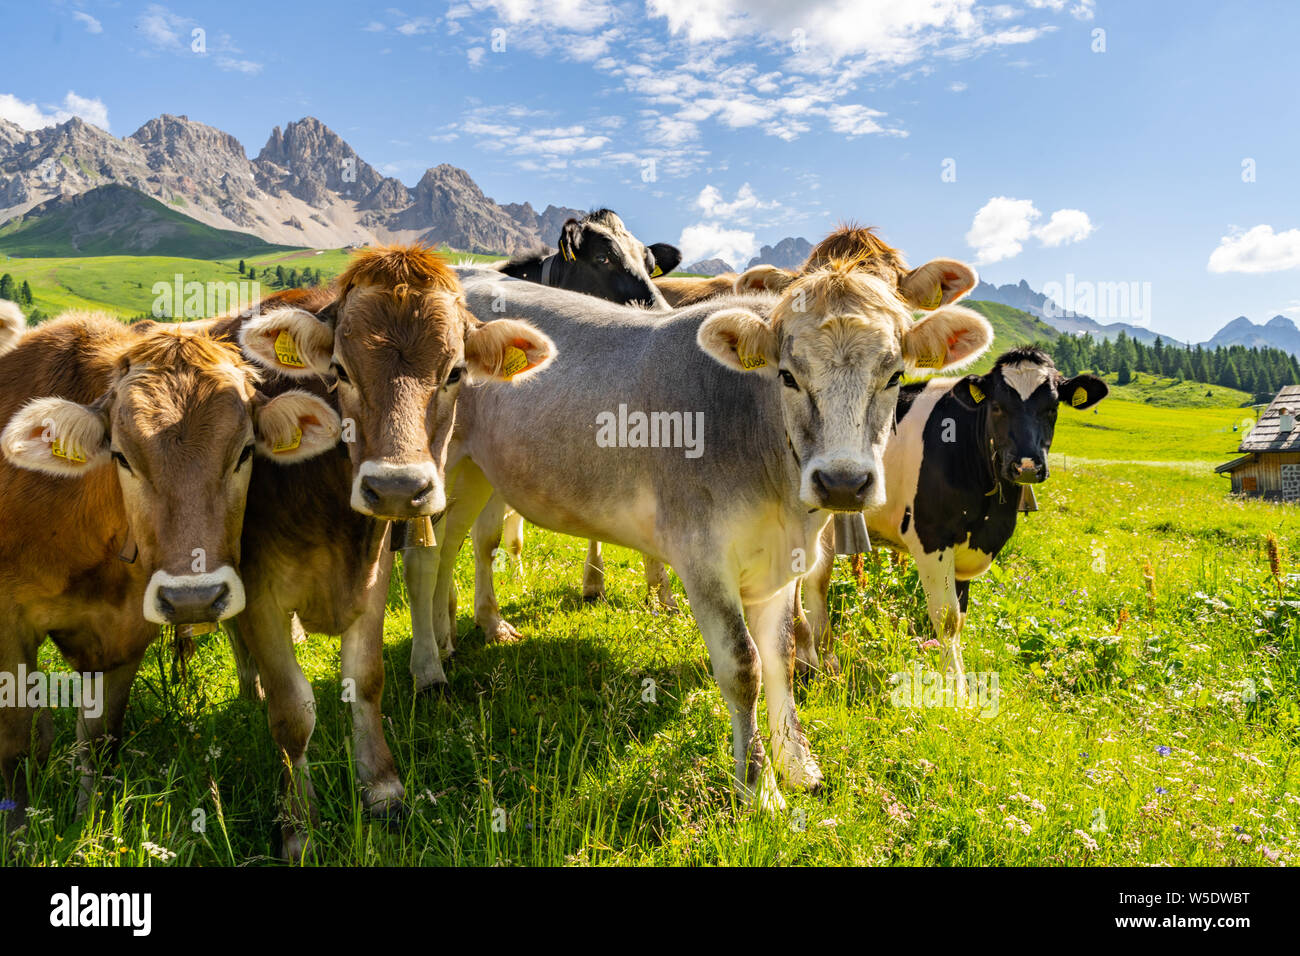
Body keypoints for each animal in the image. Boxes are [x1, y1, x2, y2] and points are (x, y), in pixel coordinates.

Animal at [0, 313, 340, 826]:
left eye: (245, 452)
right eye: (121, 456)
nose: (193, 598)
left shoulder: (126, 632)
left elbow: (99, 737)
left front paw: (88, 817)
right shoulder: (9, 627)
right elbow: (18, 741)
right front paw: (20, 830)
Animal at [207, 247, 555, 859]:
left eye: (455, 372)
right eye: (340, 371)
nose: (396, 487)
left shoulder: (371, 573)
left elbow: (366, 680)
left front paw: (383, 787)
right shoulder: (262, 589)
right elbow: (291, 711)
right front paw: (298, 823)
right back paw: (249, 684)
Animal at [400, 256, 992, 809]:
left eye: (893, 377)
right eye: (787, 376)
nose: (843, 481)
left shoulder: (781, 566)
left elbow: (780, 658)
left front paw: (798, 765)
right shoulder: (701, 557)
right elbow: (744, 667)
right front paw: (760, 790)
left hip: (476, 471)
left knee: (453, 546)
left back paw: (454, 636)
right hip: (434, 465)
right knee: (423, 558)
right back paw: (429, 669)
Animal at [799, 346, 1108, 696]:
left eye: (1052, 408)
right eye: (997, 407)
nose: (1027, 466)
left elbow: (960, 617)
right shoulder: (931, 538)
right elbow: (946, 618)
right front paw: (955, 686)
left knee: (816, 579)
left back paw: (825, 661)